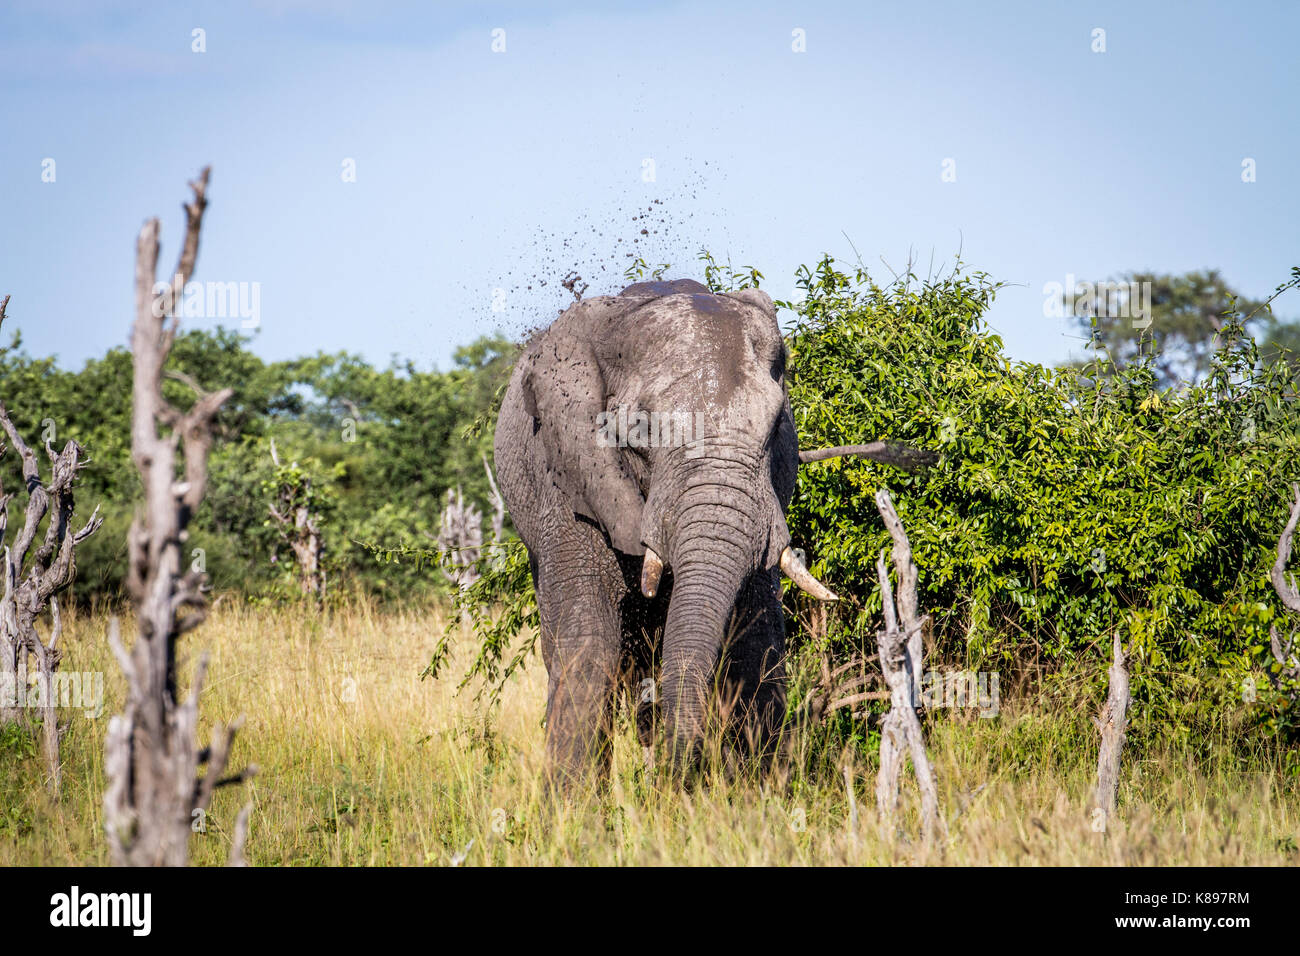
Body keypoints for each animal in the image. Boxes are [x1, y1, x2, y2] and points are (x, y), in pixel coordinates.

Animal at [493, 278, 929, 782]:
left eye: (776, 427)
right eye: (639, 432)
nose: (678, 770)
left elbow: (756, 642)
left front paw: (757, 793)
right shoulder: (570, 478)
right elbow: (589, 642)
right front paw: (572, 805)